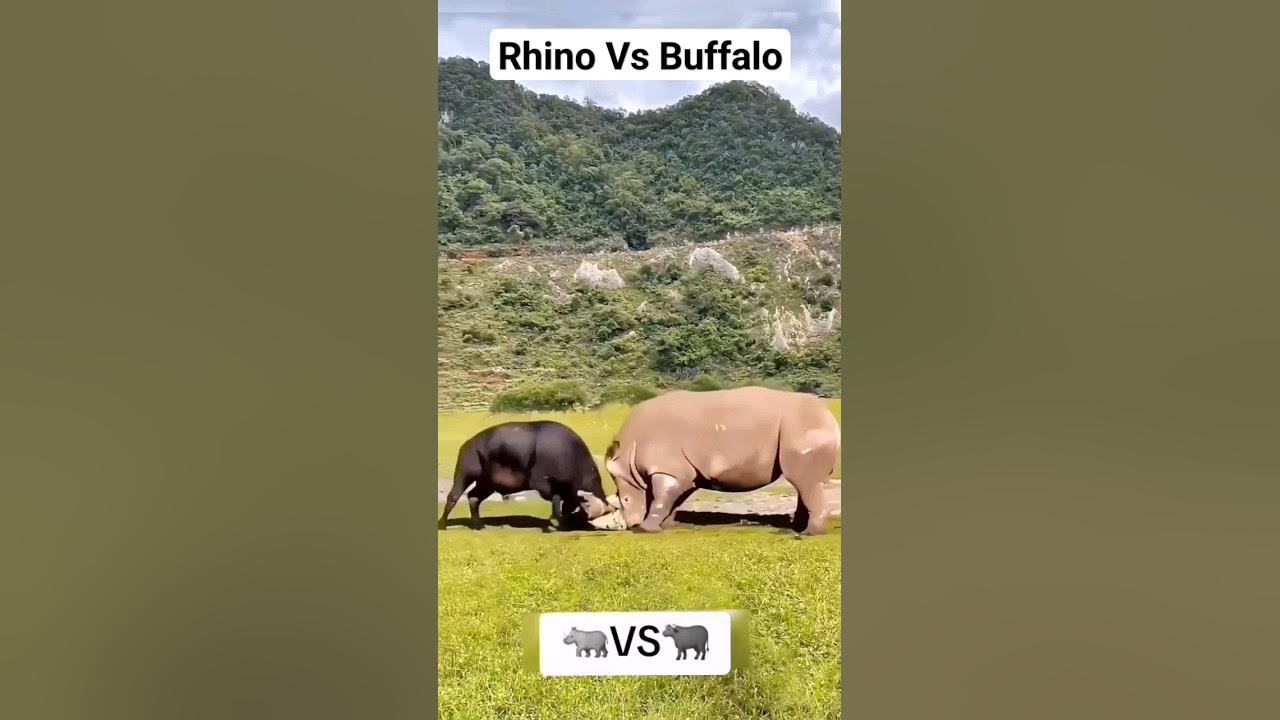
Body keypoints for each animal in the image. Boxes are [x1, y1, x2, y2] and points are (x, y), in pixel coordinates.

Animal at [601, 387, 840, 535]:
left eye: (625, 500)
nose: (631, 525)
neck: (628, 454)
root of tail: (829, 416)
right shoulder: (685, 471)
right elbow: (672, 498)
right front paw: (666, 525)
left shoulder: (668, 468)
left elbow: (660, 497)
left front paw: (646, 529)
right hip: (803, 427)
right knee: (805, 481)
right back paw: (797, 528)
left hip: (801, 427)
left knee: (803, 480)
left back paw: (808, 534)